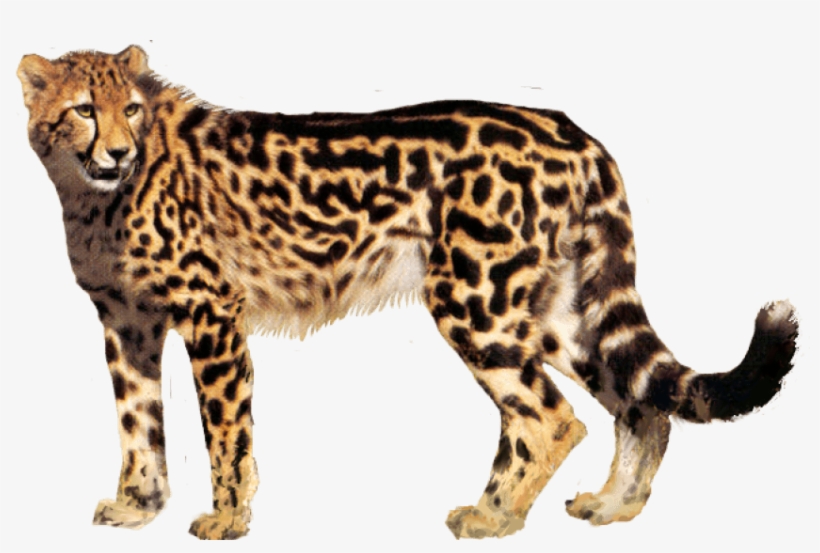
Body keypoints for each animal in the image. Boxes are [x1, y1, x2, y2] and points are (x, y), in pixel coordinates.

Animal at [17, 45, 799, 541]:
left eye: (132, 110)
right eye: (84, 109)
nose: (118, 151)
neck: (94, 192)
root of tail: (572, 131)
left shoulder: (213, 315)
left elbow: (226, 431)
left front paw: (228, 519)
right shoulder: (128, 323)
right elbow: (138, 422)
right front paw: (137, 505)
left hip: (476, 303)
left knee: (550, 418)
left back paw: (494, 516)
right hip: (553, 310)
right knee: (642, 404)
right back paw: (613, 507)